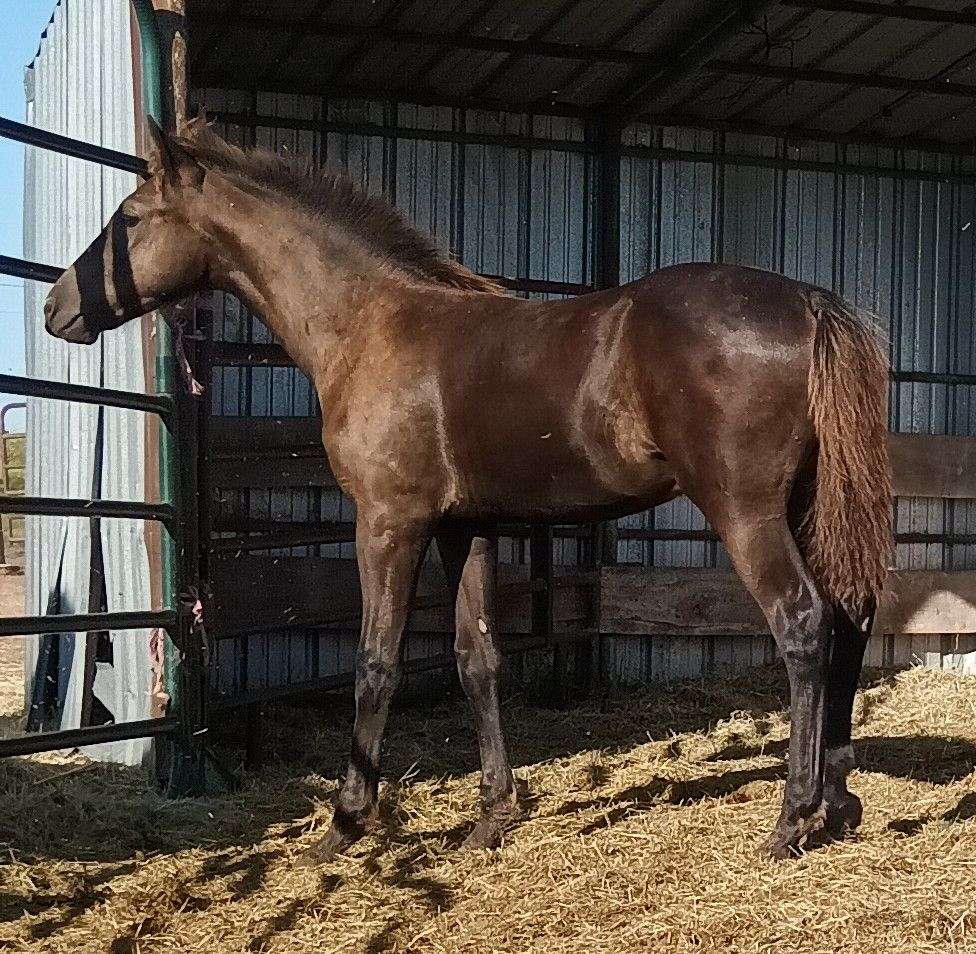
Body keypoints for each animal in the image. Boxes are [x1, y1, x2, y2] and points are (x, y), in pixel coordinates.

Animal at [44, 117, 892, 862]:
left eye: (131, 217)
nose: (56, 307)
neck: (369, 323)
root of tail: (808, 302)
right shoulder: (466, 525)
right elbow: (475, 657)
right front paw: (492, 816)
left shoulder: (390, 521)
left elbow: (376, 661)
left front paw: (345, 824)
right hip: (807, 507)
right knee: (850, 615)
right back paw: (839, 803)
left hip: (747, 512)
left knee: (803, 623)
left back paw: (791, 818)